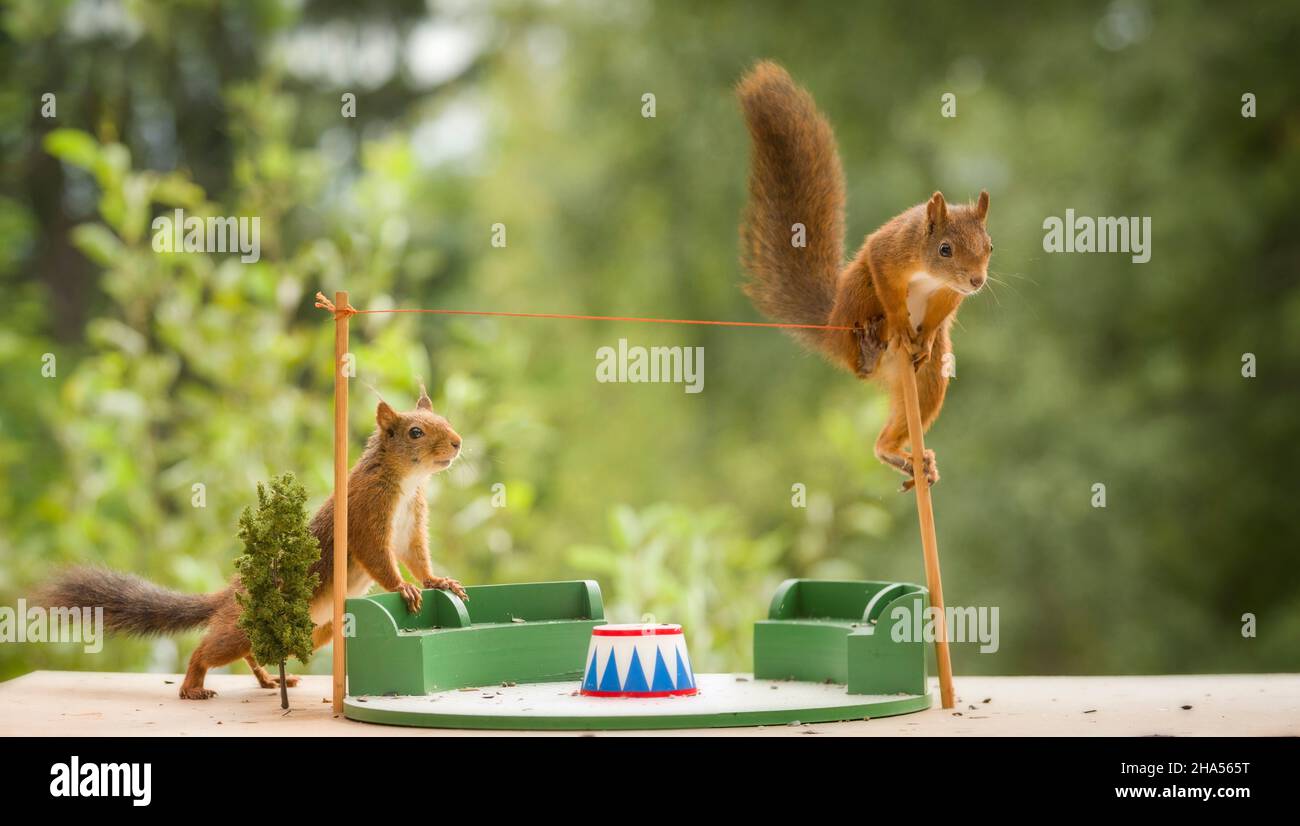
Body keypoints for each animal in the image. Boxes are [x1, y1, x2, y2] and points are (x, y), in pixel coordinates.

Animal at [39, 388, 466, 699]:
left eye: (446, 419)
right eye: (415, 432)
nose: (458, 442)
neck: (407, 482)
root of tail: (232, 595)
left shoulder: (412, 525)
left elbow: (416, 555)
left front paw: (437, 581)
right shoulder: (365, 514)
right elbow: (378, 557)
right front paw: (403, 587)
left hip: (312, 632)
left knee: (257, 651)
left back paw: (270, 680)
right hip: (242, 628)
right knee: (211, 649)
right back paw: (193, 686)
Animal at [737, 61, 992, 490]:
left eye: (990, 246)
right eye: (945, 249)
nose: (977, 281)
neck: (931, 273)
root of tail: (831, 324)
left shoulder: (949, 292)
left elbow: (942, 310)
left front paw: (922, 337)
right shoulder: (890, 252)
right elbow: (886, 279)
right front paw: (903, 324)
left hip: (928, 378)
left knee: (900, 419)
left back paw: (903, 454)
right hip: (857, 297)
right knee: (860, 362)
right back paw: (872, 348)